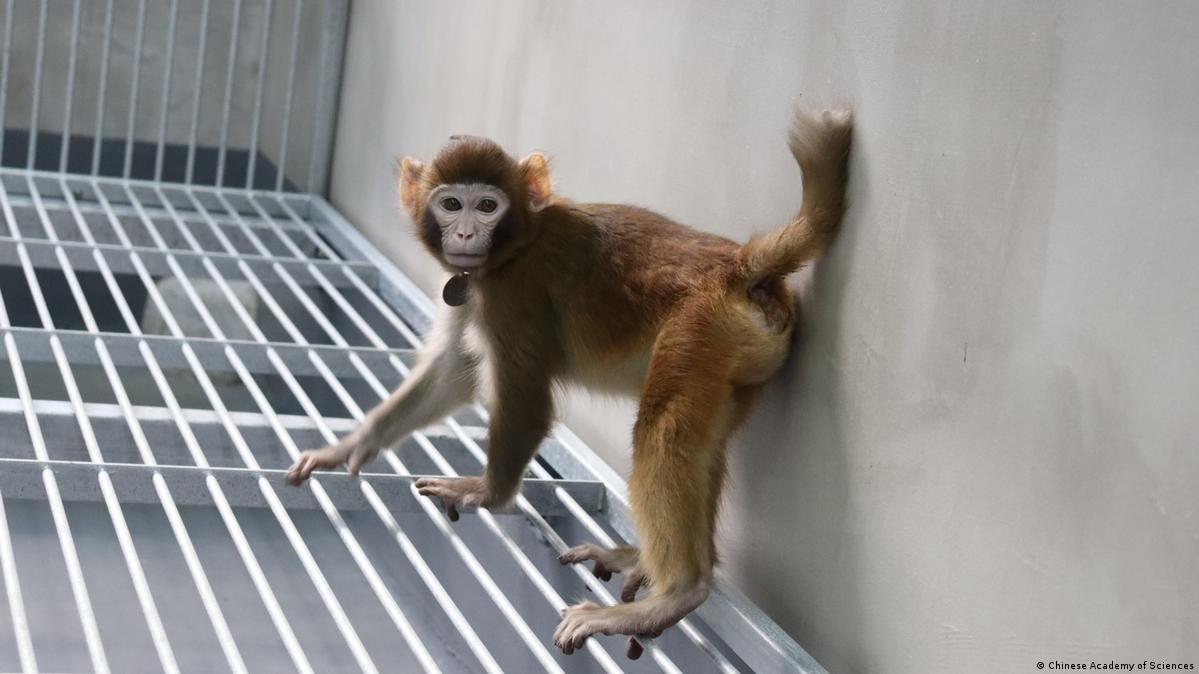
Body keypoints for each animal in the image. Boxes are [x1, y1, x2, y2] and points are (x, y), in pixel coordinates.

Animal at [285, 108, 853, 657]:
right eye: (450, 203)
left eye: (486, 206)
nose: (465, 235)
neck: (517, 244)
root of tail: (738, 266)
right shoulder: (474, 287)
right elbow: (453, 371)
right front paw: (349, 446)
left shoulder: (515, 293)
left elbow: (527, 401)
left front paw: (489, 493)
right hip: (735, 358)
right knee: (699, 443)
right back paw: (650, 562)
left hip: (699, 328)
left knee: (664, 431)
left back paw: (675, 593)